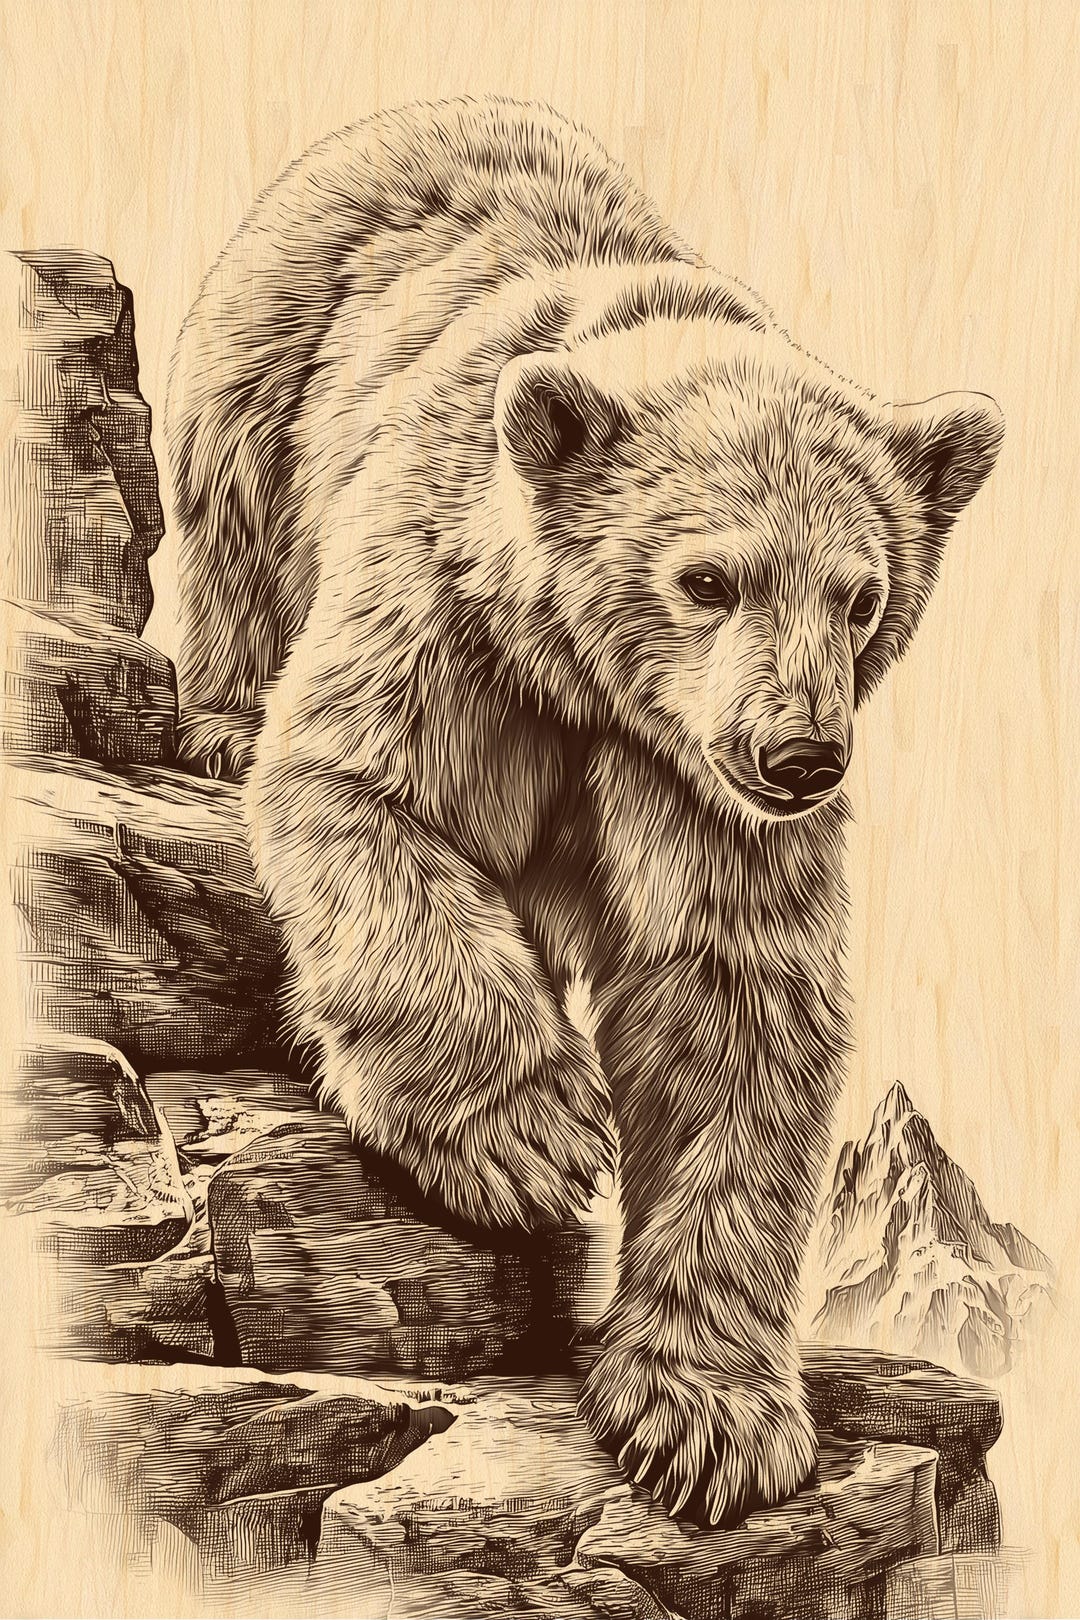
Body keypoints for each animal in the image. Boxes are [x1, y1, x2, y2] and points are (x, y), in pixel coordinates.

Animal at [166, 96, 1003, 1527]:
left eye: (860, 595)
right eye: (708, 579)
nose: (802, 755)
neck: (589, 678)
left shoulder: (688, 780)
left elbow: (728, 999)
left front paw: (707, 1419)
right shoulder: (452, 606)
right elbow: (364, 786)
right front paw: (531, 1137)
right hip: (265, 356)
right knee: (228, 513)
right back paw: (217, 717)